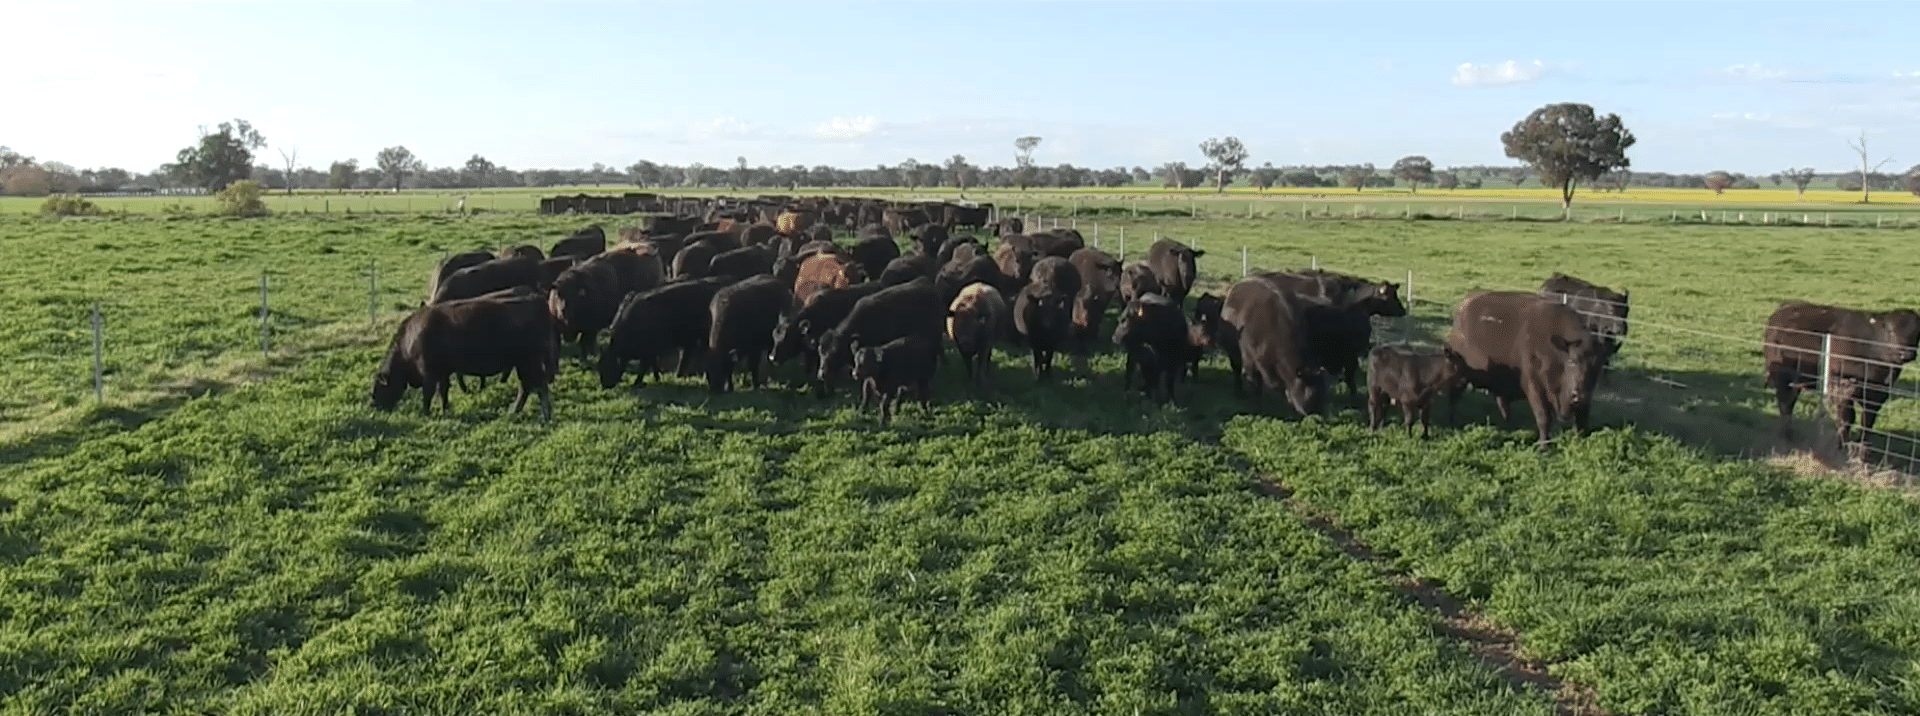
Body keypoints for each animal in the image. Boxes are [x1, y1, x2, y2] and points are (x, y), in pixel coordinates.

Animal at [371, 288, 557, 420]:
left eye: (379, 387)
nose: (374, 405)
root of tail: (536, 299)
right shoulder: (443, 373)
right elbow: (443, 391)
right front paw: (445, 409)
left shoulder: (430, 375)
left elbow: (428, 395)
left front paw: (426, 413)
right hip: (523, 364)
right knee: (527, 386)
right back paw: (515, 411)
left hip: (529, 362)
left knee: (536, 386)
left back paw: (543, 414)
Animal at [596, 276, 735, 389]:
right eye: (600, 366)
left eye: (609, 365)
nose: (605, 385)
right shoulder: (651, 351)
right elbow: (653, 365)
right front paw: (657, 378)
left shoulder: (649, 351)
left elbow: (645, 366)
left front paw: (638, 382)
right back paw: (679, 374)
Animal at [1221, 278, 1327, 417]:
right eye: (1310, 393)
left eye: (1324, 393)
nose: (1317, 412)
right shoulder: (1253, 359)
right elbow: (1261, 383)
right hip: (1233, 351)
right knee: (1237, 369)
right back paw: (1239, 392)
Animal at [1446, 291, 1609, 450]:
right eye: (1572, 361)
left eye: (1598, 364)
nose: (1579, 395)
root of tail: (1464, 304)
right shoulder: (1535, 387)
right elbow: (1544, 418)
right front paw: (1544, 447)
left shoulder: (1584, 400)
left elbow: (1581, 423)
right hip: (1458, 375)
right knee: (1453, 399)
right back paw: (1452, 424)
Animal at [1763, 301, 1920, 457]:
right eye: (1891, 331)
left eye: (1917, 334)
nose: (1906, 354)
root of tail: (1785, 307)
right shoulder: (1842, 388)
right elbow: (1847, 419)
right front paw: (1842, 448)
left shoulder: (1878, 395)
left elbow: (1867, 422)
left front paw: (1864, 451)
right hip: (1782, 376)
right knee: (1785, 403)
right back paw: (1787, 435)